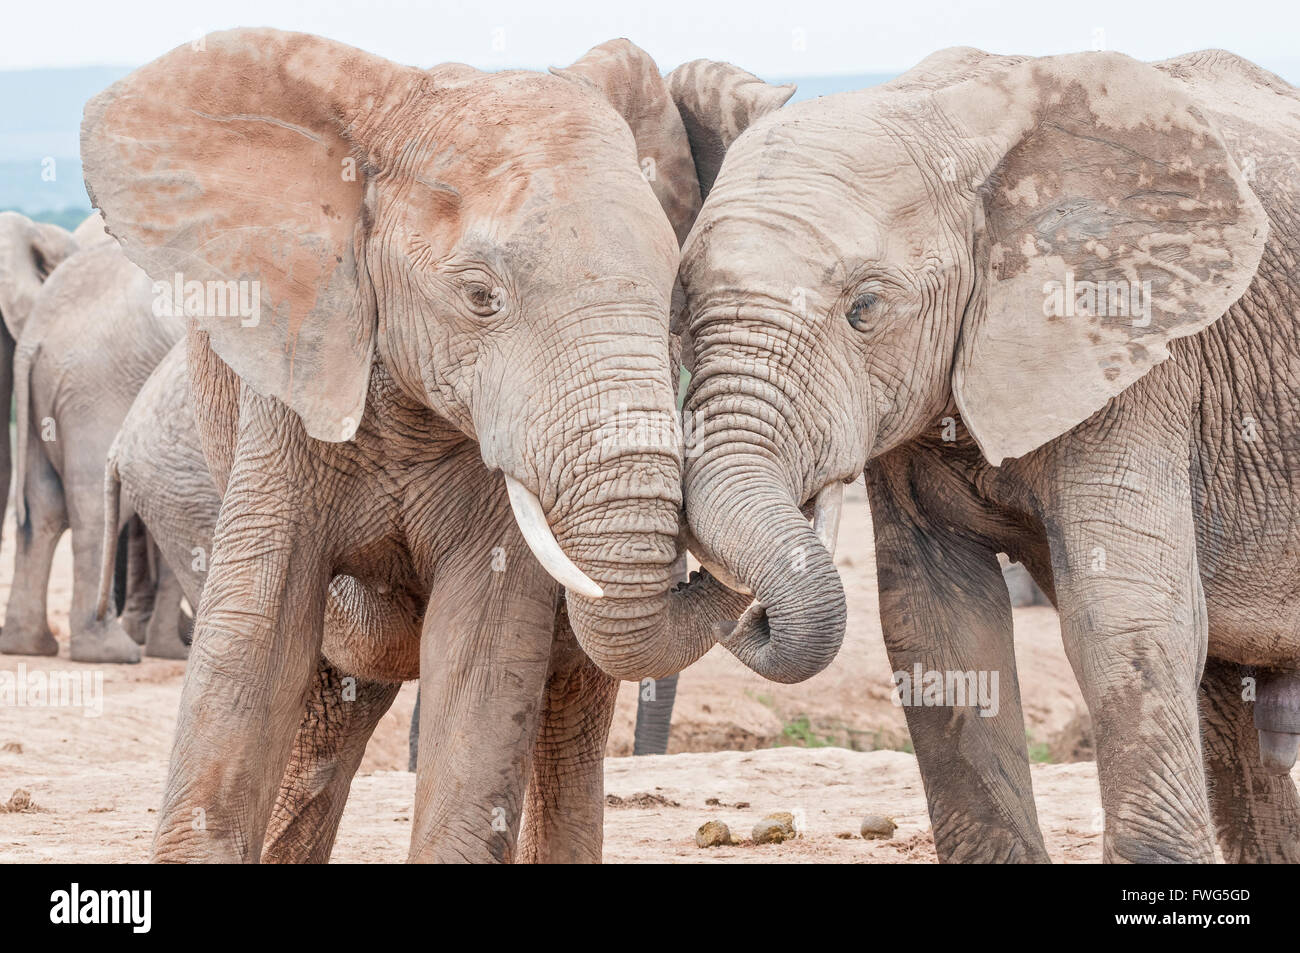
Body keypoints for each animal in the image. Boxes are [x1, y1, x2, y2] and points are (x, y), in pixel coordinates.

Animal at [0, 230, 190, 662]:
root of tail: (37, 333)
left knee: (43, 508)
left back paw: (29, 646)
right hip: (97, 392)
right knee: (96, 509)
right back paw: (111, 651)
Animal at [81, 29, 762, 863]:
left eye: (674, 304)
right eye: (479, 297)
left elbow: (481, 657)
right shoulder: (297, 376)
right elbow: (255, 637)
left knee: (568, 702)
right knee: (329, 702)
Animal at [676, 47, 1300, 863]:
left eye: (865, 309)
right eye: (681, 304)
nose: (742, 616)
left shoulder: (1140, 355)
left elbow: (1125, 613)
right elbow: (935, 620)